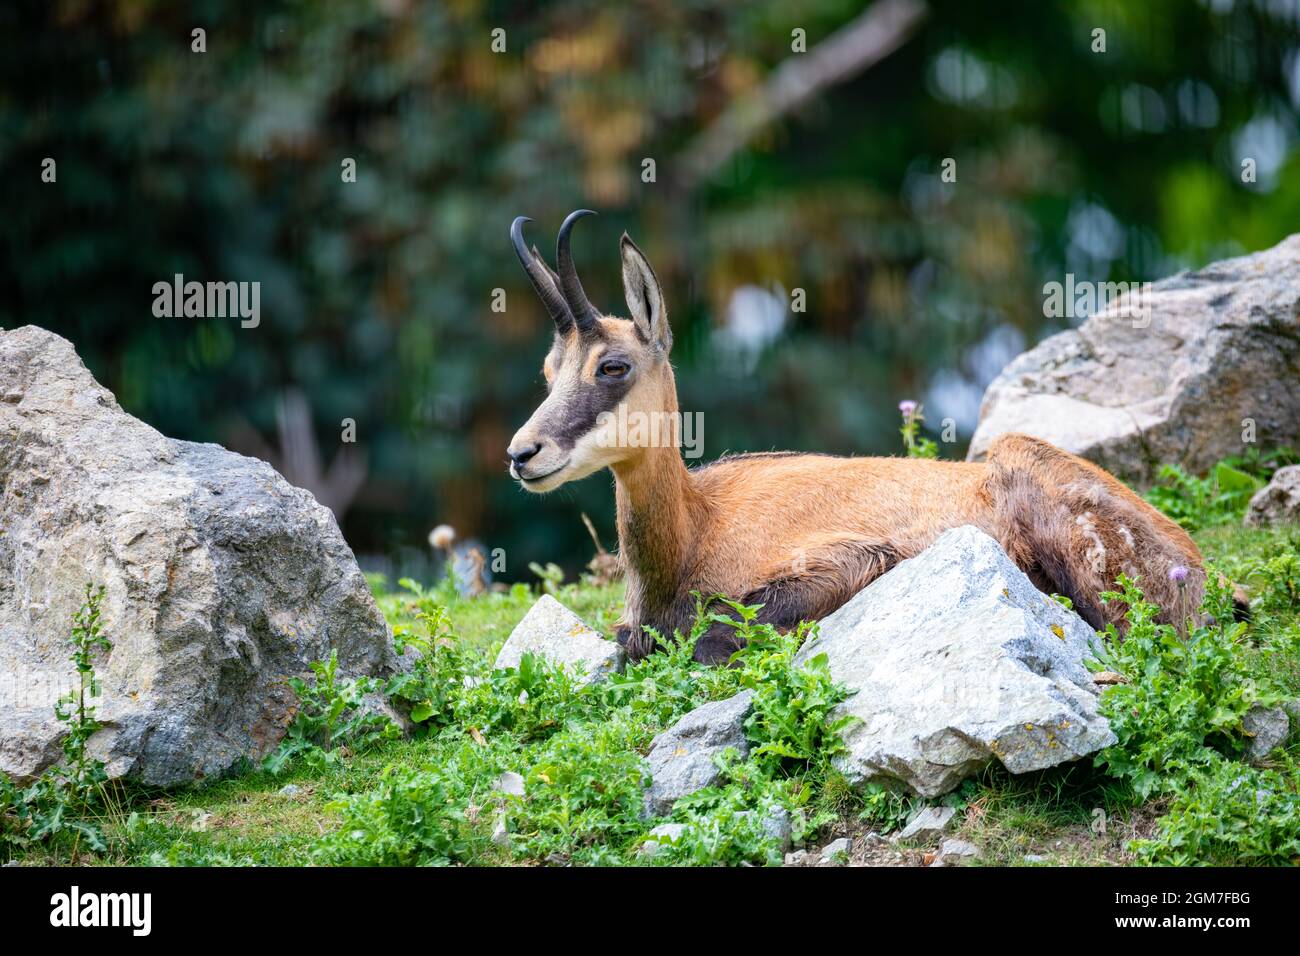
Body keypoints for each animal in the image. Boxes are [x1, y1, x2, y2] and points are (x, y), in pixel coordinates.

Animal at [505, 210, 1206, 664]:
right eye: (548, 370)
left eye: (612, 366)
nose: (522, 454)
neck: (695, 528)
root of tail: (1194, 568)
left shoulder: (853, 560)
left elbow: (705, 638)